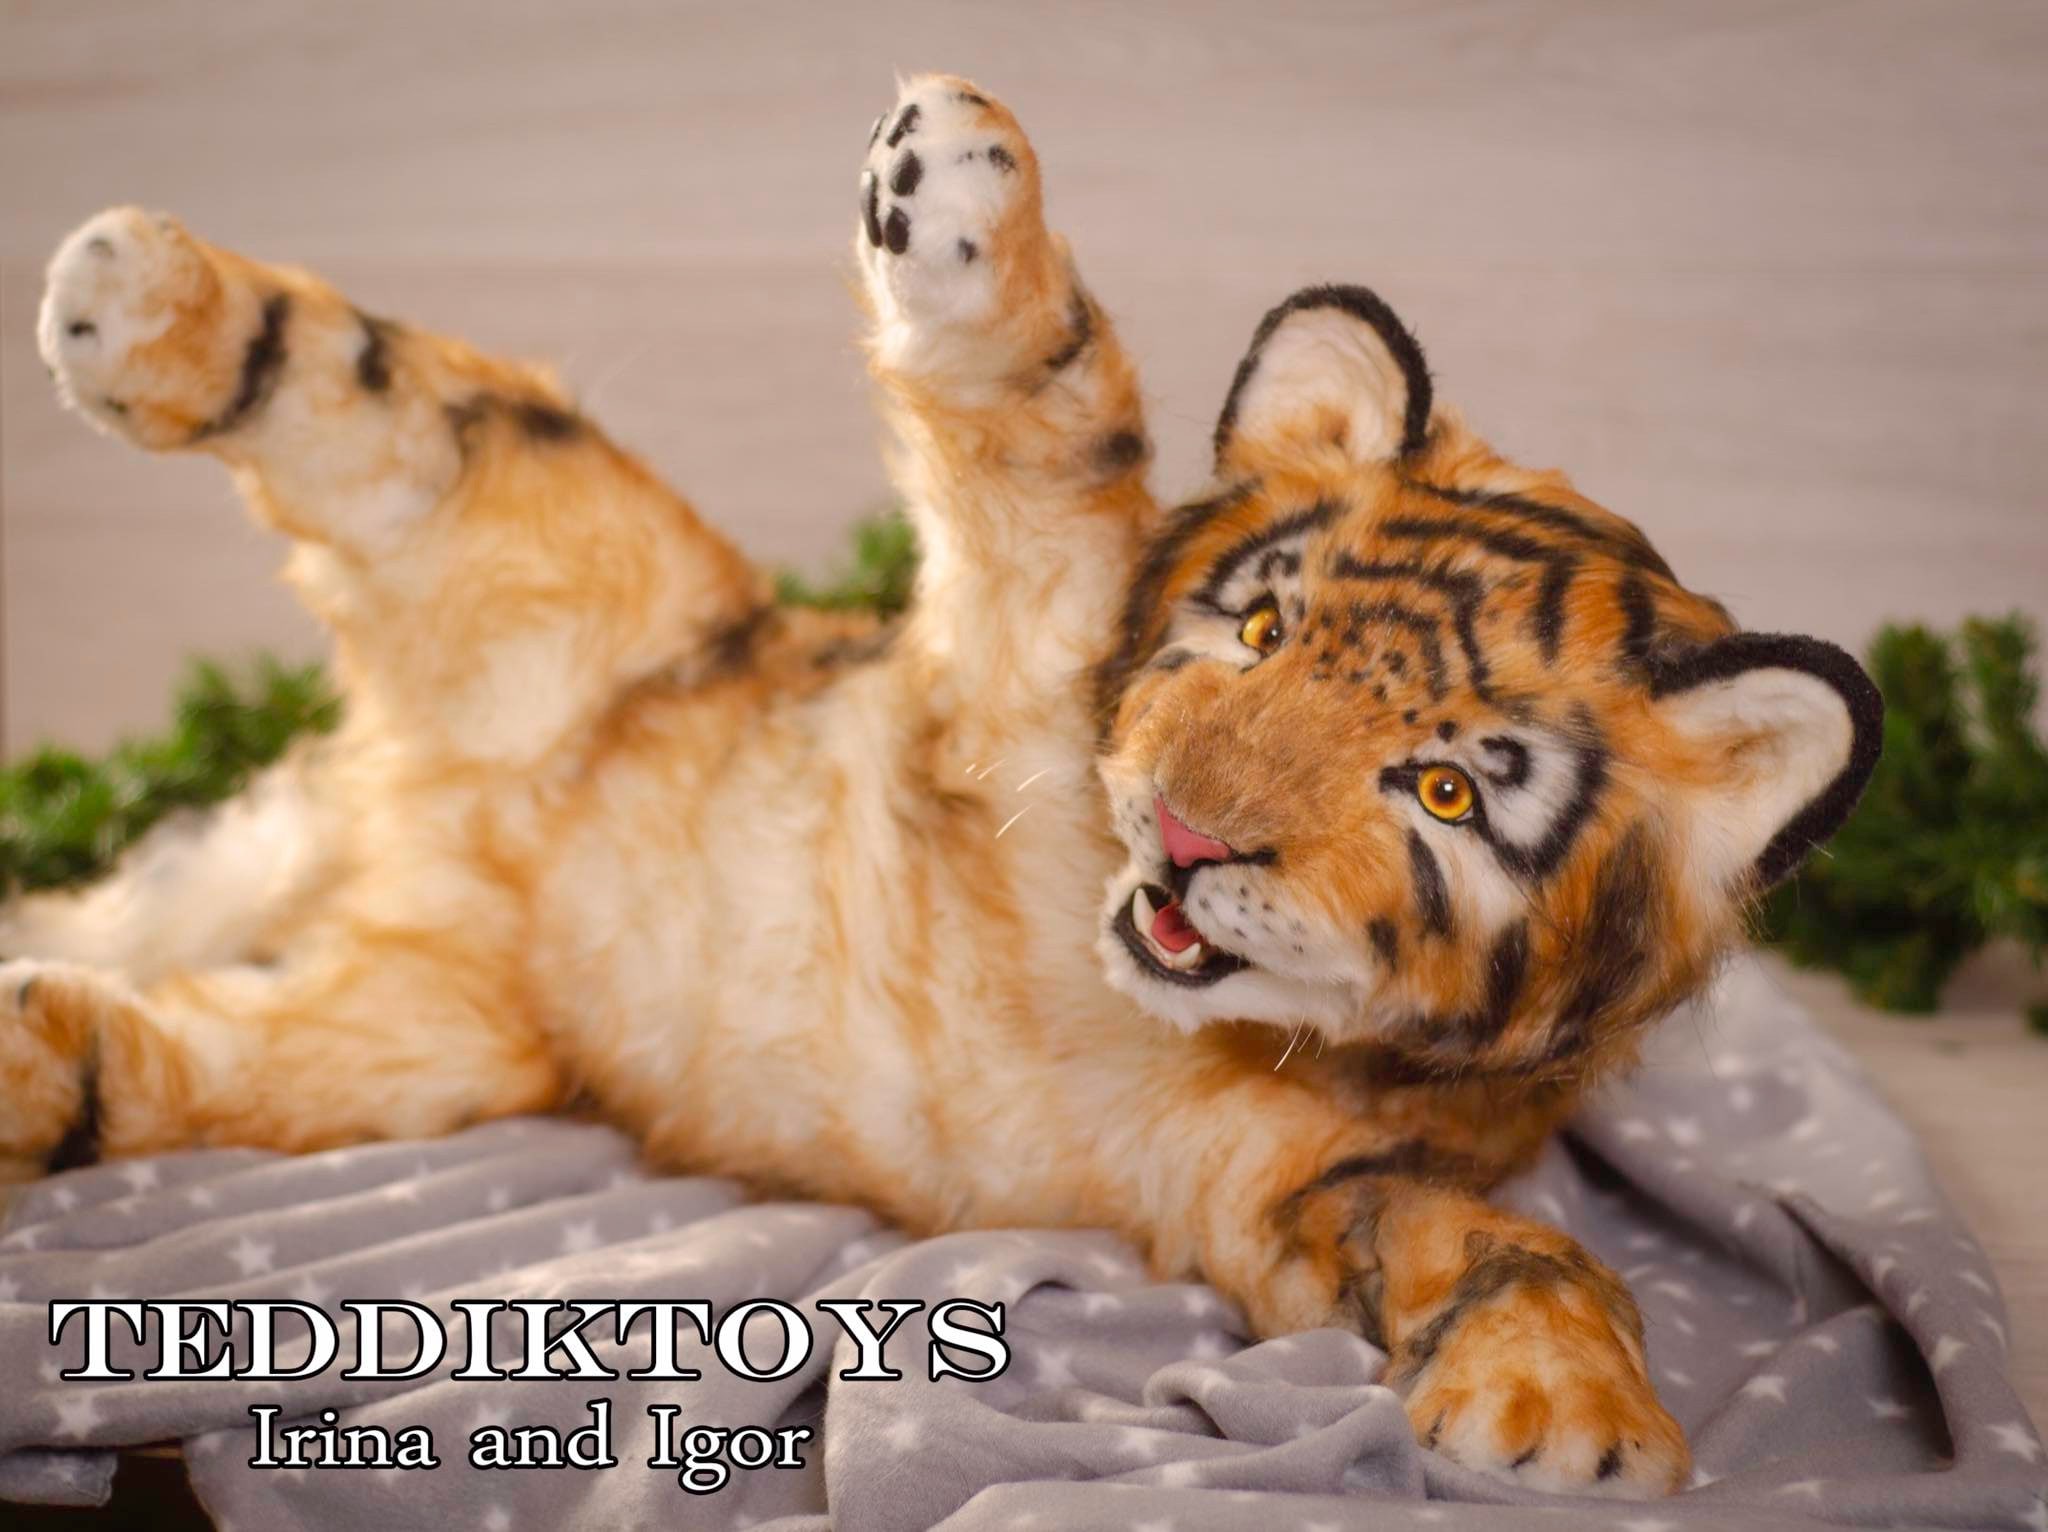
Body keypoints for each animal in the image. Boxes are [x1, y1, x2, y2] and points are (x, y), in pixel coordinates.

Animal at [1, 76, 1878, 1497]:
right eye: (1263, 627)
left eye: (1441, 794)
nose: (1184, 832)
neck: (1139, 985)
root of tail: (424, 811)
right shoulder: (1025, 648)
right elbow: (1050, 415)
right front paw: (956, 175)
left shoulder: (1294, 1183)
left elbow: (1504, 1240)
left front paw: (1570, 1413)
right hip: (548, 551)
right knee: (383, 396)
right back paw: (125, 289)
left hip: (421, 1048)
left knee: (119, 1053)